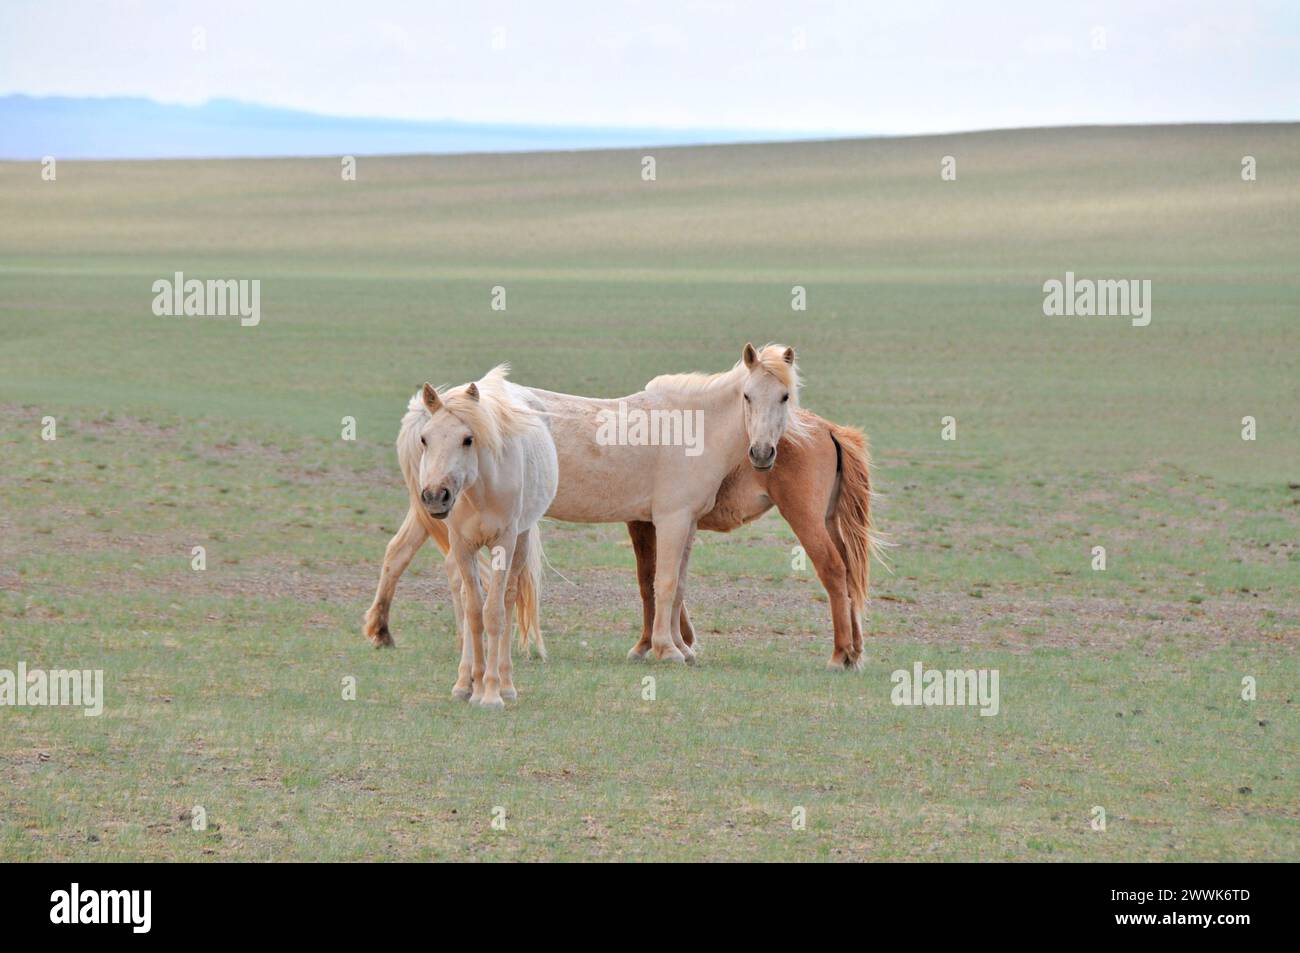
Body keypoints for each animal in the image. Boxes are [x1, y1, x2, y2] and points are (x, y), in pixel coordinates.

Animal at [365, 343, 803, 663]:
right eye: (747, 396)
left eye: (784, 397)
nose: (762, 453)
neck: (692, 425)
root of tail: (427, 410)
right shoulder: (672, 520)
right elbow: (664, 583)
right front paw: (667, 649)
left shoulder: (687, 524)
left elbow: (676, 586)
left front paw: (679, 646)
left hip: (434, 505)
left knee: (398, 553)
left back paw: (384, 631)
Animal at [405, 366, 558, 708]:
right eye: (424, 439)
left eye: (468, 439)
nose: (435, 497)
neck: (479, 491)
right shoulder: (463, 545)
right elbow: (474, 612)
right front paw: (473, 687)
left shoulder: (504, 543)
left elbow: (495, 612)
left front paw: (491, 693)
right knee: (466, 598)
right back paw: (464, 683)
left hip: (520, 540)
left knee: (510, 598)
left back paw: (506, 684)